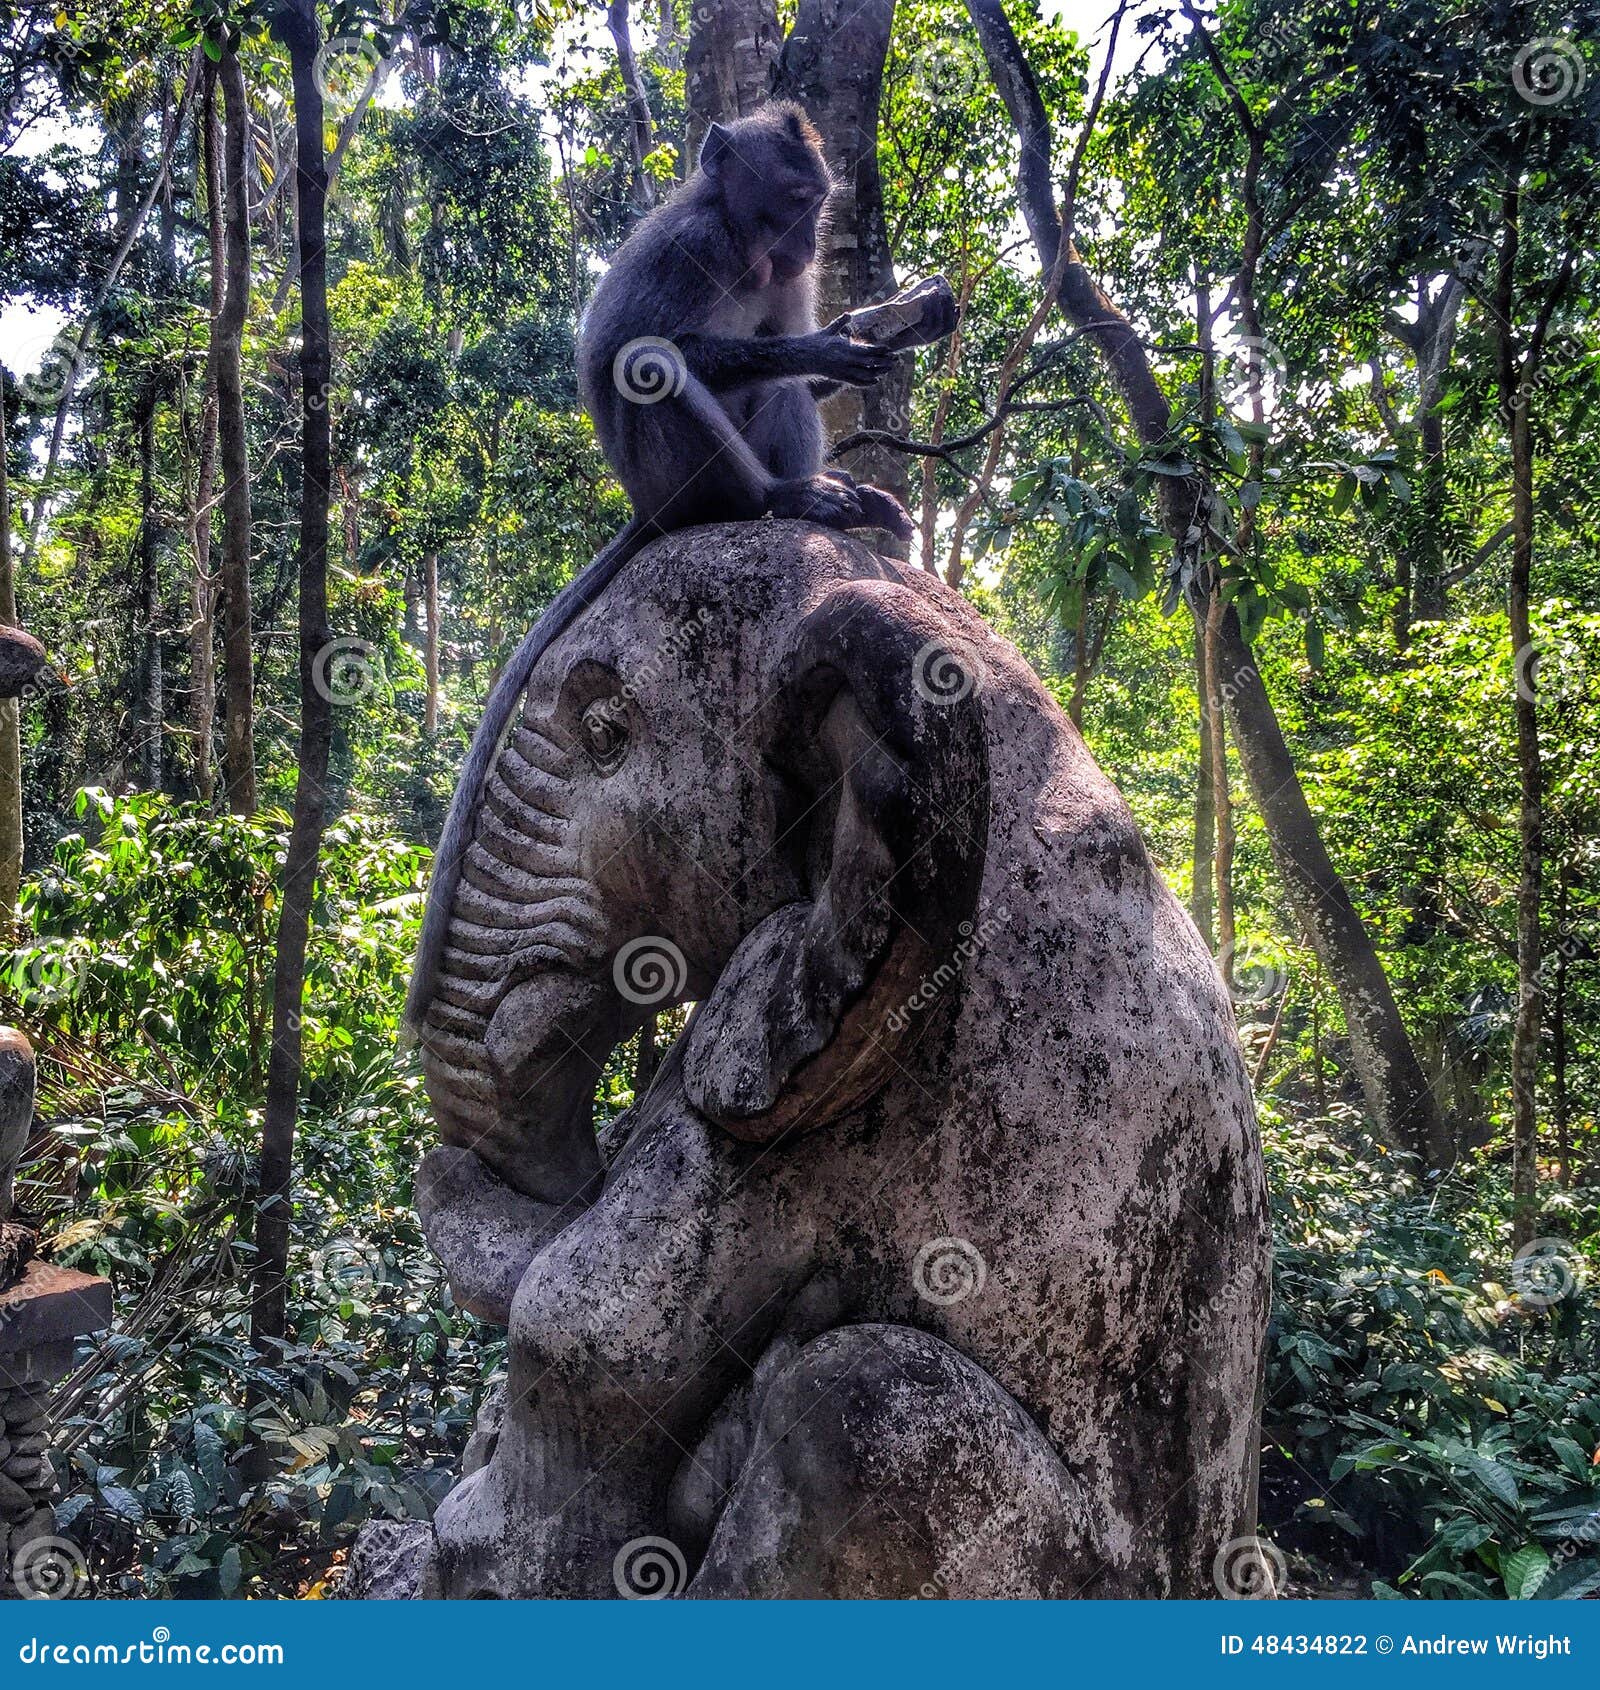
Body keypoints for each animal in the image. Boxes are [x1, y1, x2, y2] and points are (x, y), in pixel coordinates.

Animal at [407, 105, 931, 1031]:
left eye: (816, 203)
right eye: (790, 198)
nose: (805, 245)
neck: (742, 243)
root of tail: (649, 511)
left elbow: (792, 365)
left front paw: (881, 333)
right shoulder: (690, 245)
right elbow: (651, 348)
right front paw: (838, 341)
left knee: (776, 394)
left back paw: (816, 502)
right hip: (673, 478)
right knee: (657, 368)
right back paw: (776, 500)